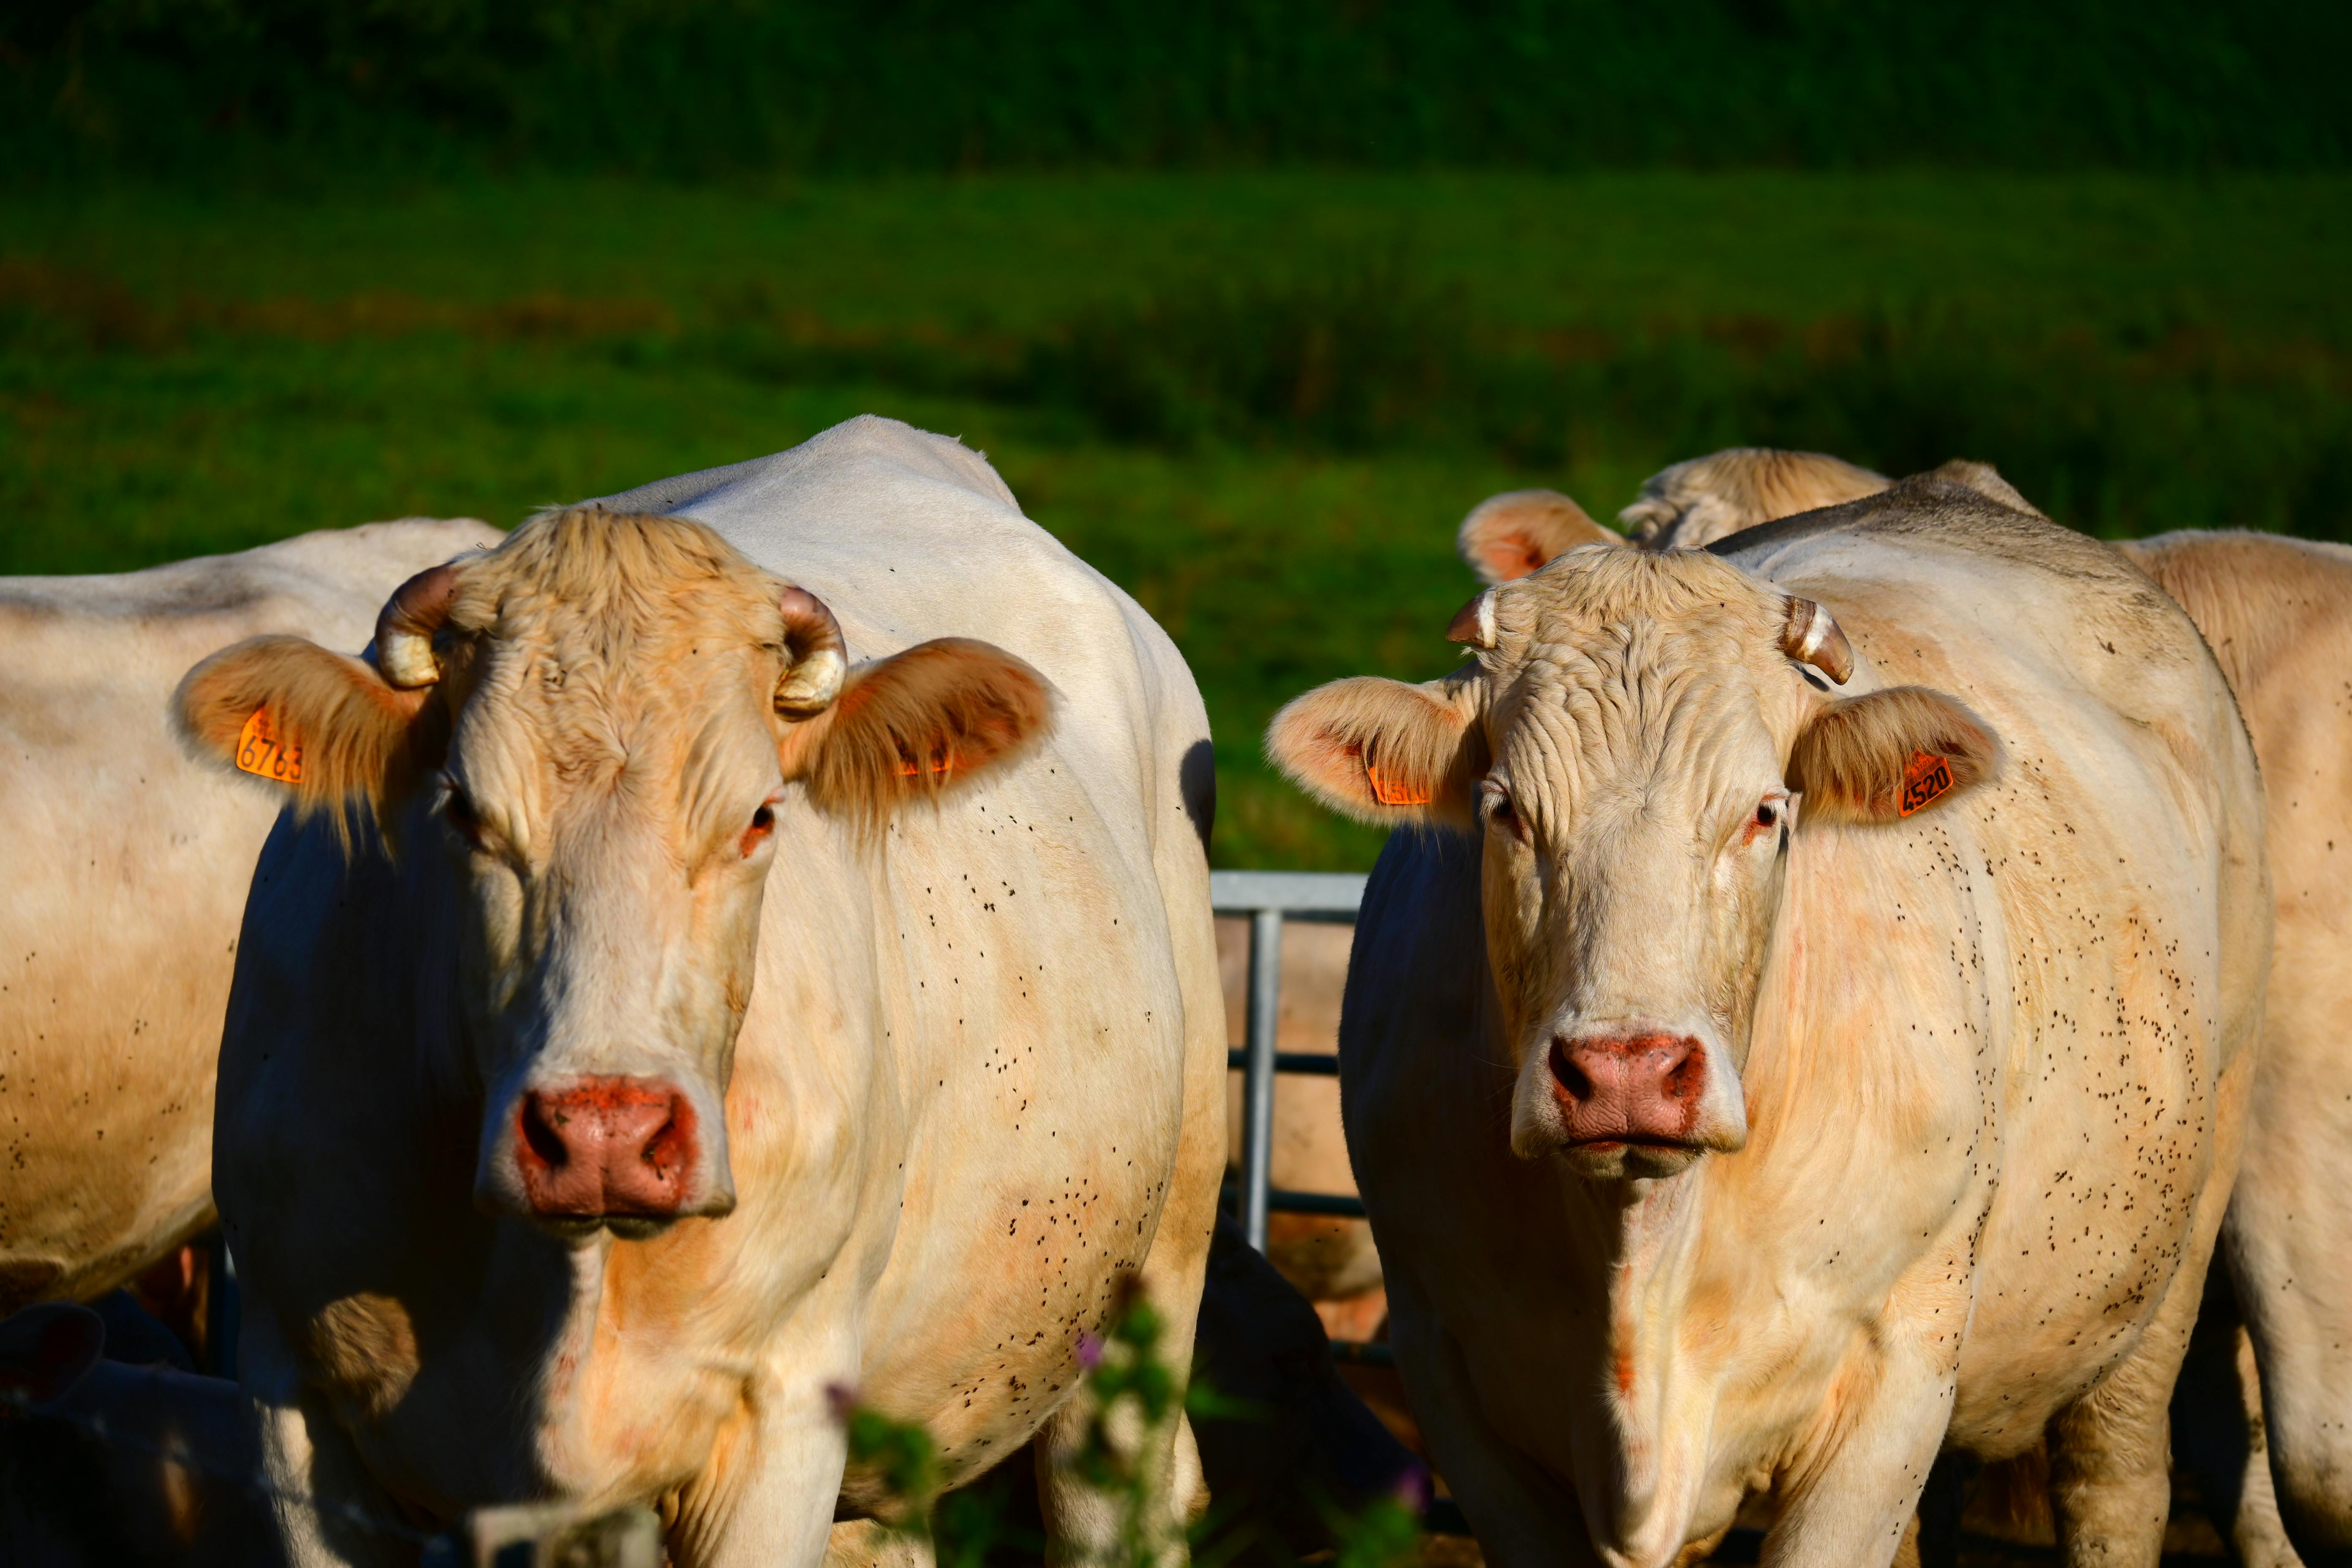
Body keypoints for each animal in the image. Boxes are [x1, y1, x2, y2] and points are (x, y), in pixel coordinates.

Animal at [173, 416, 1228, 1566]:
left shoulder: (780, 1421)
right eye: (461, 809)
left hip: (1144, 1310)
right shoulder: (294, 1402)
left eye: (761, 814)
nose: (604, 1134)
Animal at [1267, 473, 2268, 1566]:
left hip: (2170, 1262)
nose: (1625, 1073)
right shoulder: (1454, 1382)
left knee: (2114, 1479)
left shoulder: (1893, 1380)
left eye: (1763, 811)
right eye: (1506, 811)